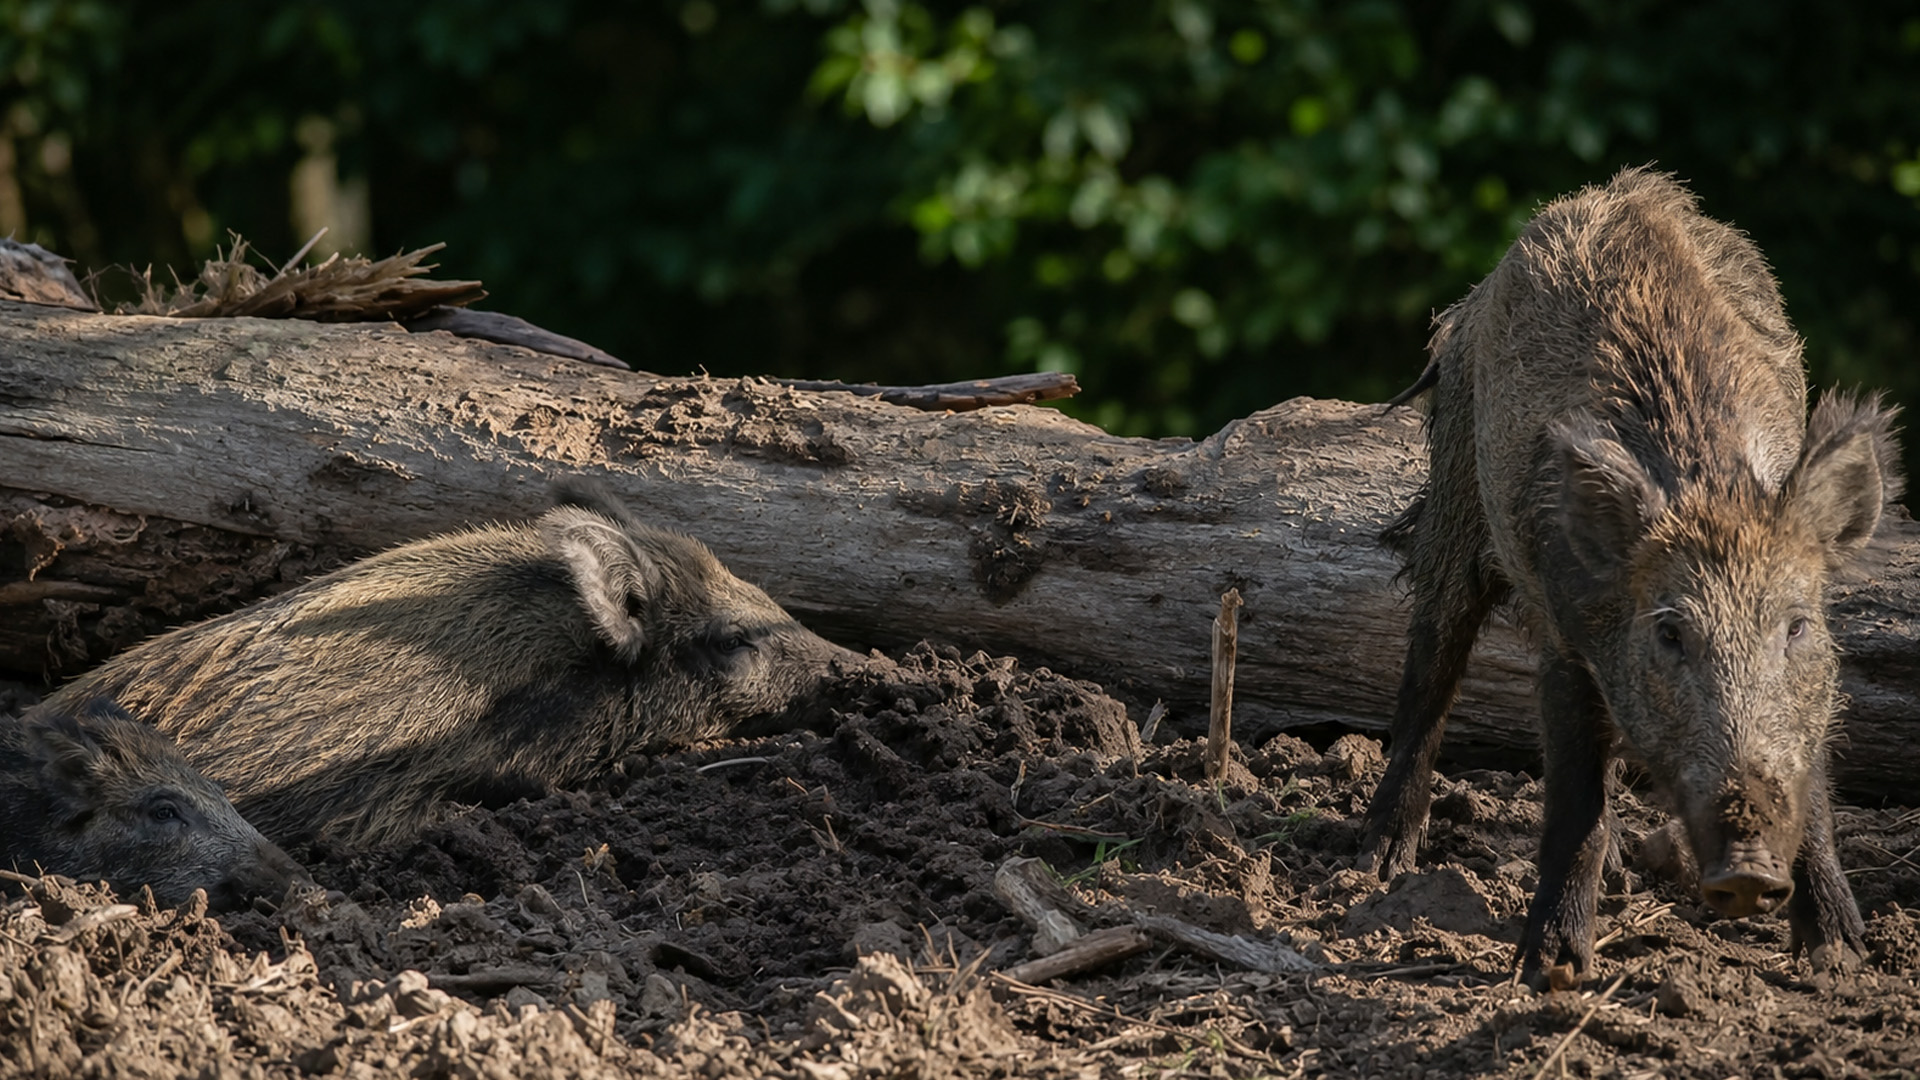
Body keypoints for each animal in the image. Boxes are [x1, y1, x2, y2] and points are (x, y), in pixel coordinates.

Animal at [1360, 167, 1897, 988]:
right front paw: (1550, 970)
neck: (1711, 486)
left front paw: (1841, 959)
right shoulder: (1569, 640)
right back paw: (1380, 862)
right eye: (1670, 632)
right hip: (1453, 490)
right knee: (1432, 662)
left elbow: (1812, 785)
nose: (1746, 869)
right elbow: (1574, 794)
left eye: (1797, 626)